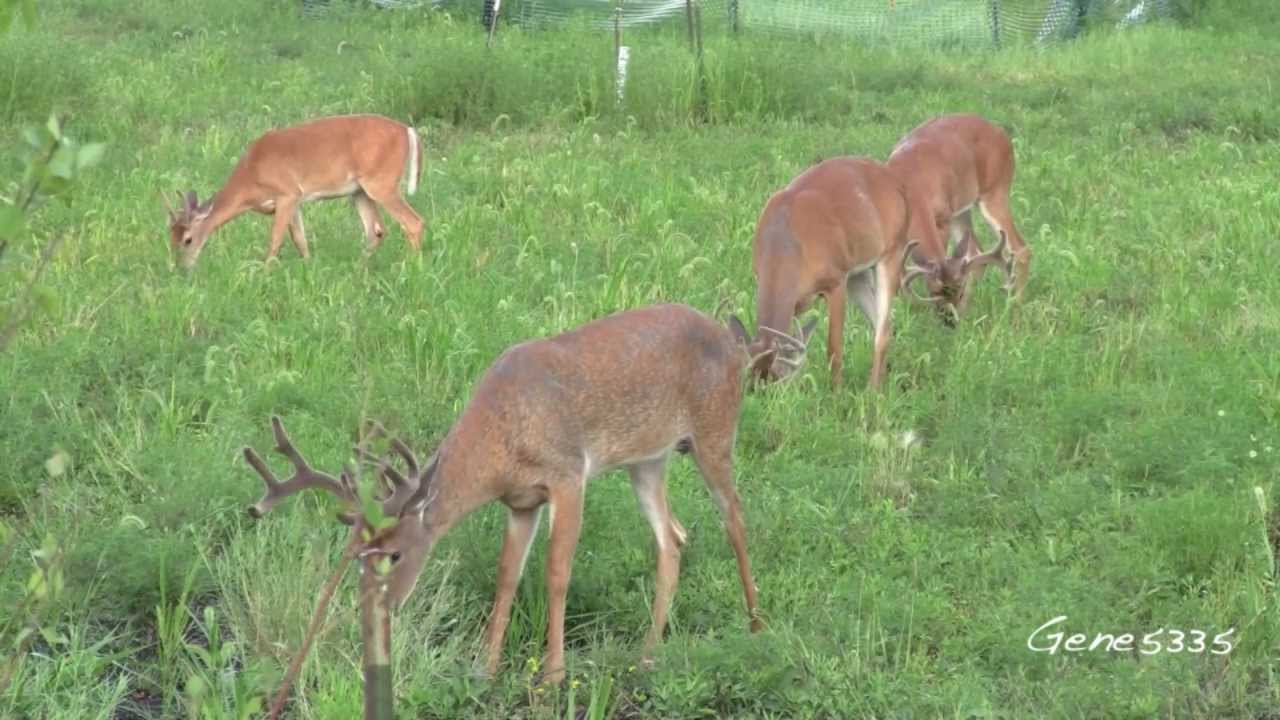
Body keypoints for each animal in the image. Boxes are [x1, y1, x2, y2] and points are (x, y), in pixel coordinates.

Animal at [164, 114, 425, 270]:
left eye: (188, 239)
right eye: (170, 236)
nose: (181, 268)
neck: (250, 178)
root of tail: (407, 130)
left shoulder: (287, 193)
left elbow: (275, 239)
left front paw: (266, 271)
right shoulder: (295, 201)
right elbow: (300, 239)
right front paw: (309, 266)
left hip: (381, 183)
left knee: (413, 221)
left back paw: (411, 267)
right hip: (359, 191)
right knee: (376, 230)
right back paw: (360, 268)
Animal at [241, 303, 764, 687]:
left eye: (394, 554)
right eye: (355, 556)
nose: (376, 610)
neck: (502, 442)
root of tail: (733, 343)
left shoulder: (568, 474)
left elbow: (556, 573)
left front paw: (553, 676)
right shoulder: (520, 501)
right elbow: (507, 576)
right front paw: (484, 668)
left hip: (716, 432)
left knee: (735, 519)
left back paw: (756, 627)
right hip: (648, 460)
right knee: (672, 537)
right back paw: (648, 654)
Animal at [730, 156, 915, 391]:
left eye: (778, 383)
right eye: (749, 387)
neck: (787, 245)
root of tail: (897, 183)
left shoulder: (835, 281)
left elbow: (834, 349)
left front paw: (836, 393)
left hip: (891, 253)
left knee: (883, 329)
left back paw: (872, 390)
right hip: (858, 275)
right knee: (882, 322)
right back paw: (883, 381)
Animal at [885, 113, 1030, 321]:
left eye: (958, 292)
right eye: (936, 294)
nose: (950, 320)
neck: (913, 189)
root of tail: (1002, 134)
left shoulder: (942, 218)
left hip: (995, 190)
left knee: (1020, 248)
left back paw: (1015, 304)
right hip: (962, 210)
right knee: (976, 252)